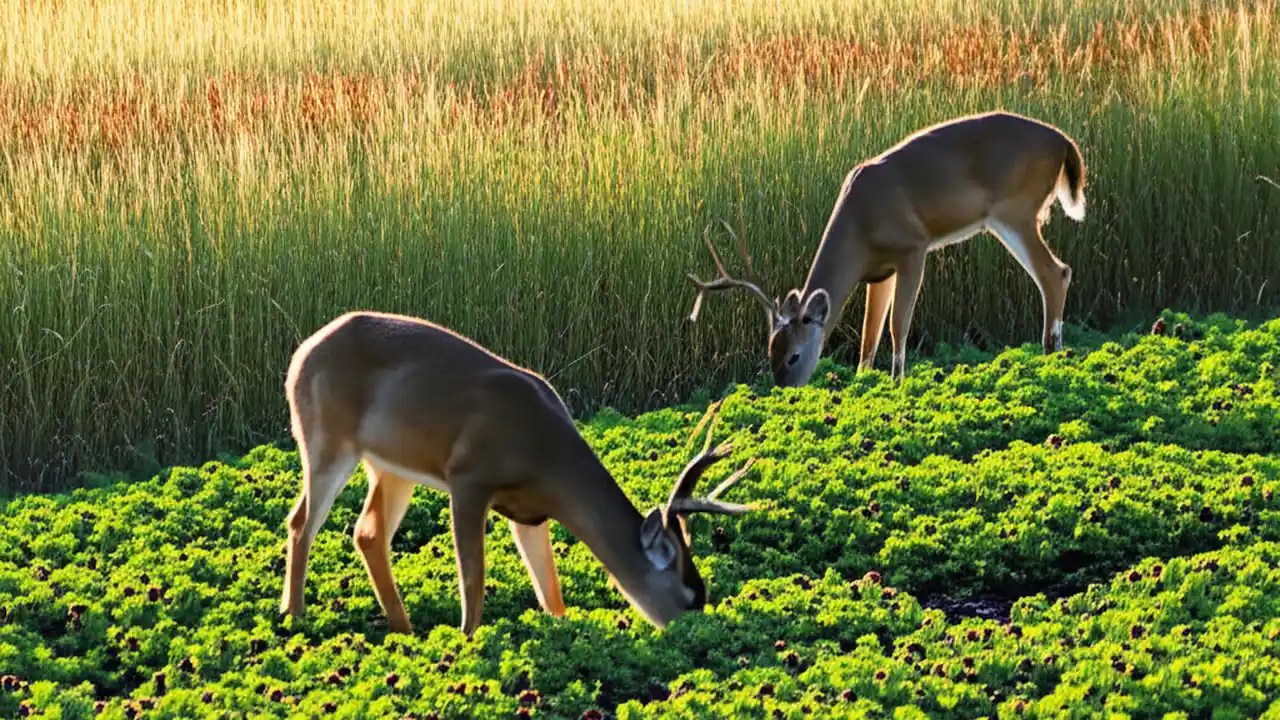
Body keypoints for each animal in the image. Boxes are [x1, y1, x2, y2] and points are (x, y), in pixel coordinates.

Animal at [280, 311, 757, 637]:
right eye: (690, 596)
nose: (698, 633)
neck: (544, 452)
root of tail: (302, 351)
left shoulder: (530, 514)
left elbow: (551, 591)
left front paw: (562, 629)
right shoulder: (468, 479)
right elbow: (474, 580)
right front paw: (466, 642)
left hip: (391, 468)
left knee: (367, 532)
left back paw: (405, 630)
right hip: (326, 442)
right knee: (302, 521)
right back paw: (294, 615)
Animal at [688, 111, 1087, 386]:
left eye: (794, 356)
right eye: (771, 351)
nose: (784, 391)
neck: (859, 224)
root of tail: (1065, 143)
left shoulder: (913, 247)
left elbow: (898, 325)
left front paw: (897, 383)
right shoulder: (878, 273)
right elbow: (869, 335)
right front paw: (863, 383)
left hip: (1016, 211)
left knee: (1056, 273)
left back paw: (1051, 355)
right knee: (1058, 272)